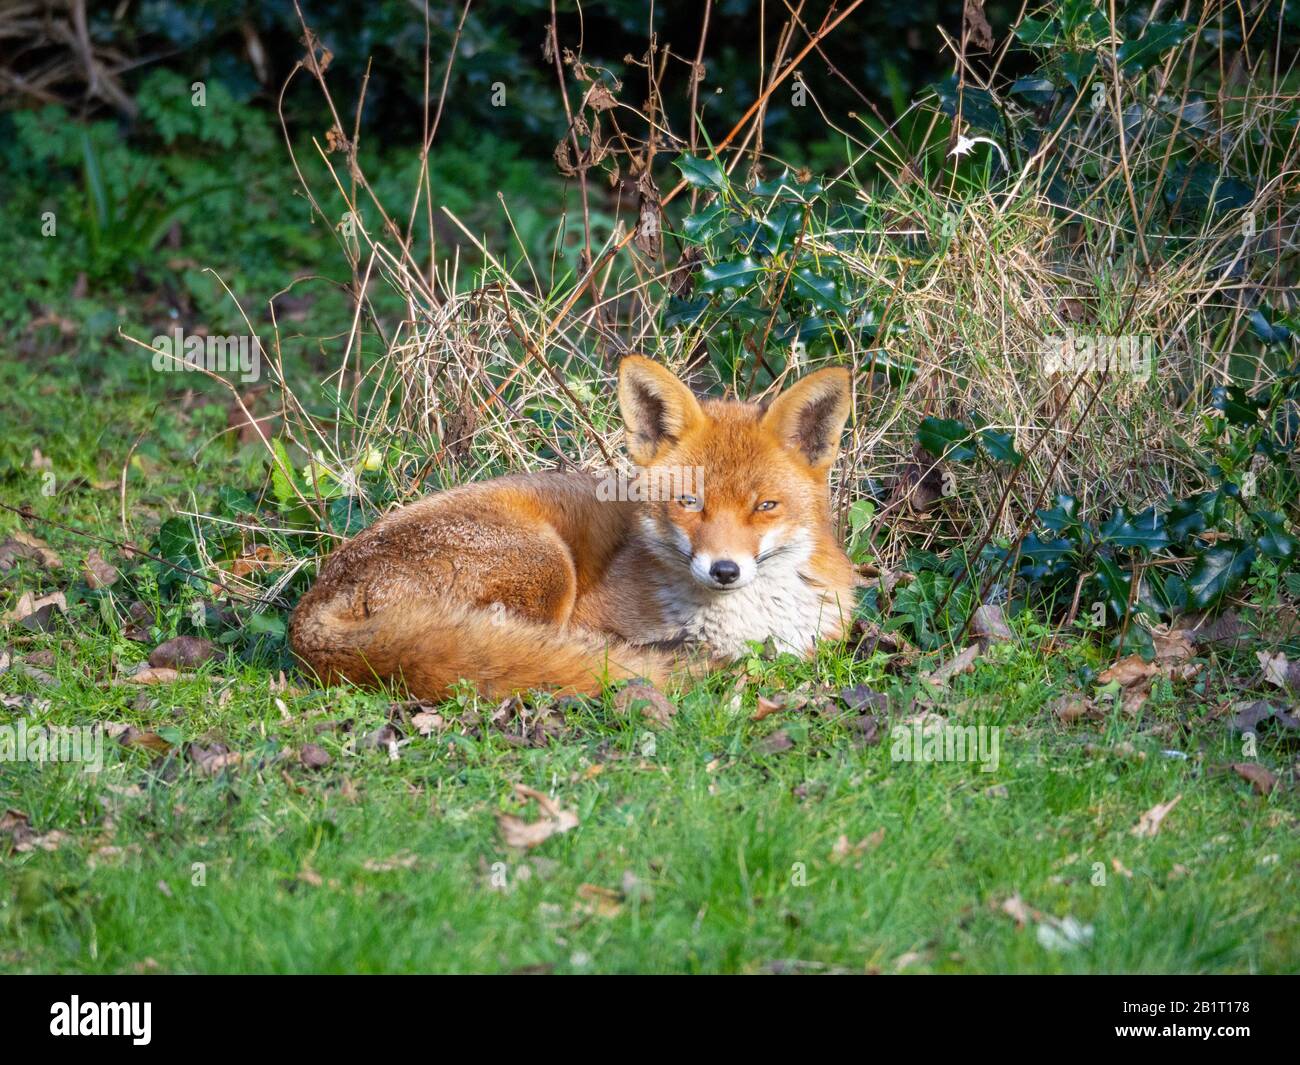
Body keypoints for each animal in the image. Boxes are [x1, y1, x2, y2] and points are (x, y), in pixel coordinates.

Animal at [288, 355, 857, 699]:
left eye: (766, 506)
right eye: (690, 502)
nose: (724, 570)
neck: (739, 627)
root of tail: (310, 610)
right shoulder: (591, 618)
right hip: (548, 568)